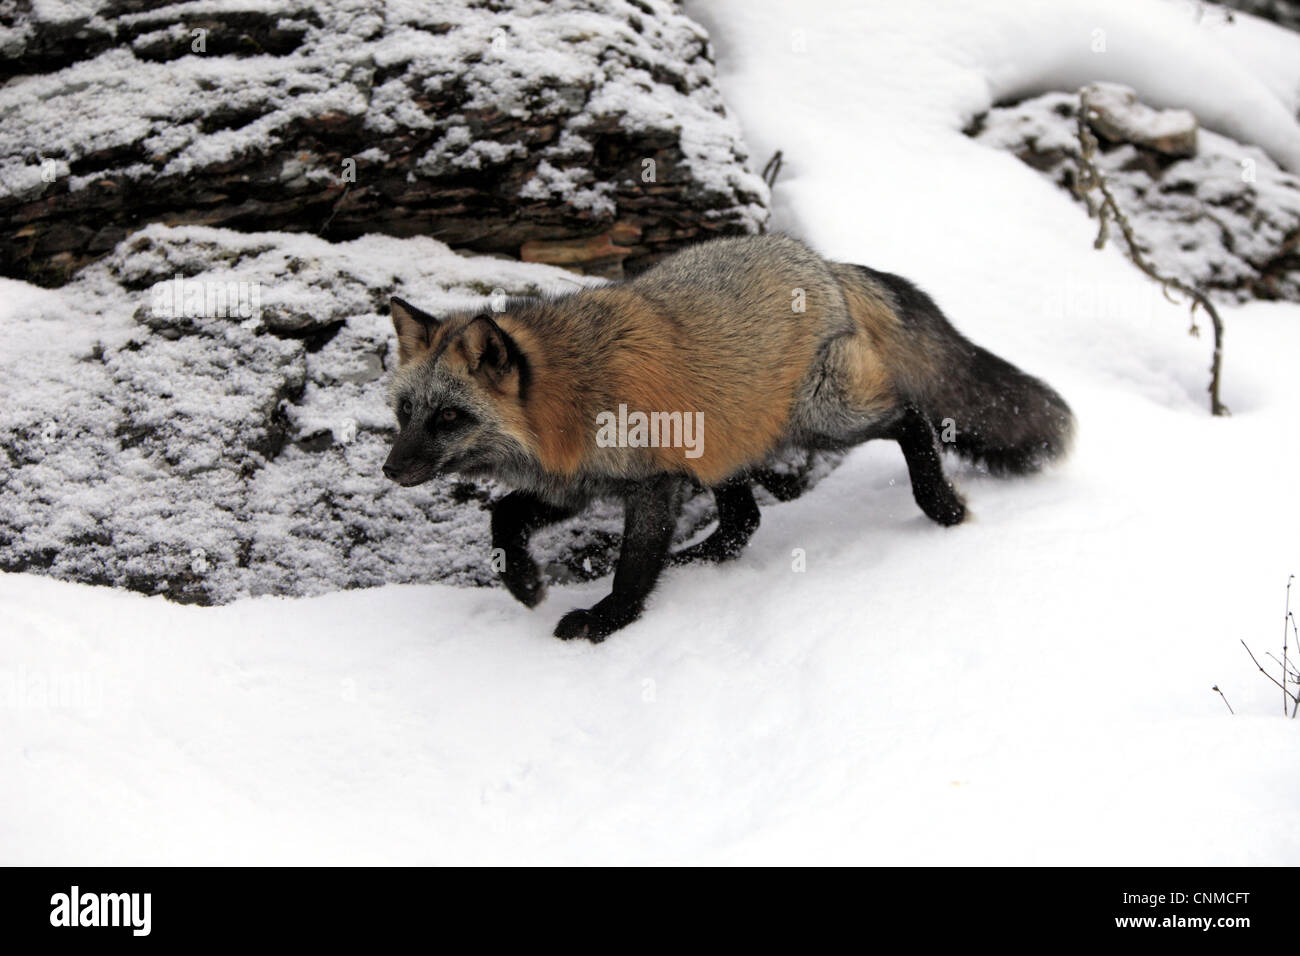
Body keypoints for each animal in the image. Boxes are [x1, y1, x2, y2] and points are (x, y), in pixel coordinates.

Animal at [383, 234, 1073, 642]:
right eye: (404, 412)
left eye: (448, 419)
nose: (390, 470)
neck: (572, 394)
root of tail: (823, 260)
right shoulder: (577, 484)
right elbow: (503, 517)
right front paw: (525, 584)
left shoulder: (650, 481)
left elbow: (633, 566)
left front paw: (609, 621)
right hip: (725, 443)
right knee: (744, 521)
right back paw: (696, 562)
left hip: (824, 417)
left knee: (912, 420)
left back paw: (941, 505)